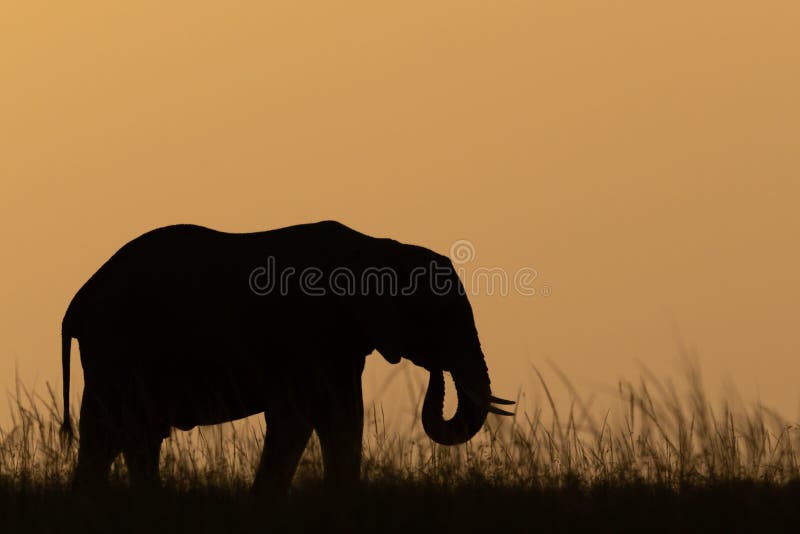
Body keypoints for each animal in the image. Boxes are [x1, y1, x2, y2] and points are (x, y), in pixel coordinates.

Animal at [59, 220, 513, 495]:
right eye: (440, 316)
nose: (438, 369)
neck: (375, 247)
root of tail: (76, 305)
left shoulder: (341, 346)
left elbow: (344, 418)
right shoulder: (307, 337)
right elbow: (299, 419)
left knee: (133, 436)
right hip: (115, 352)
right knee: (111, 434)